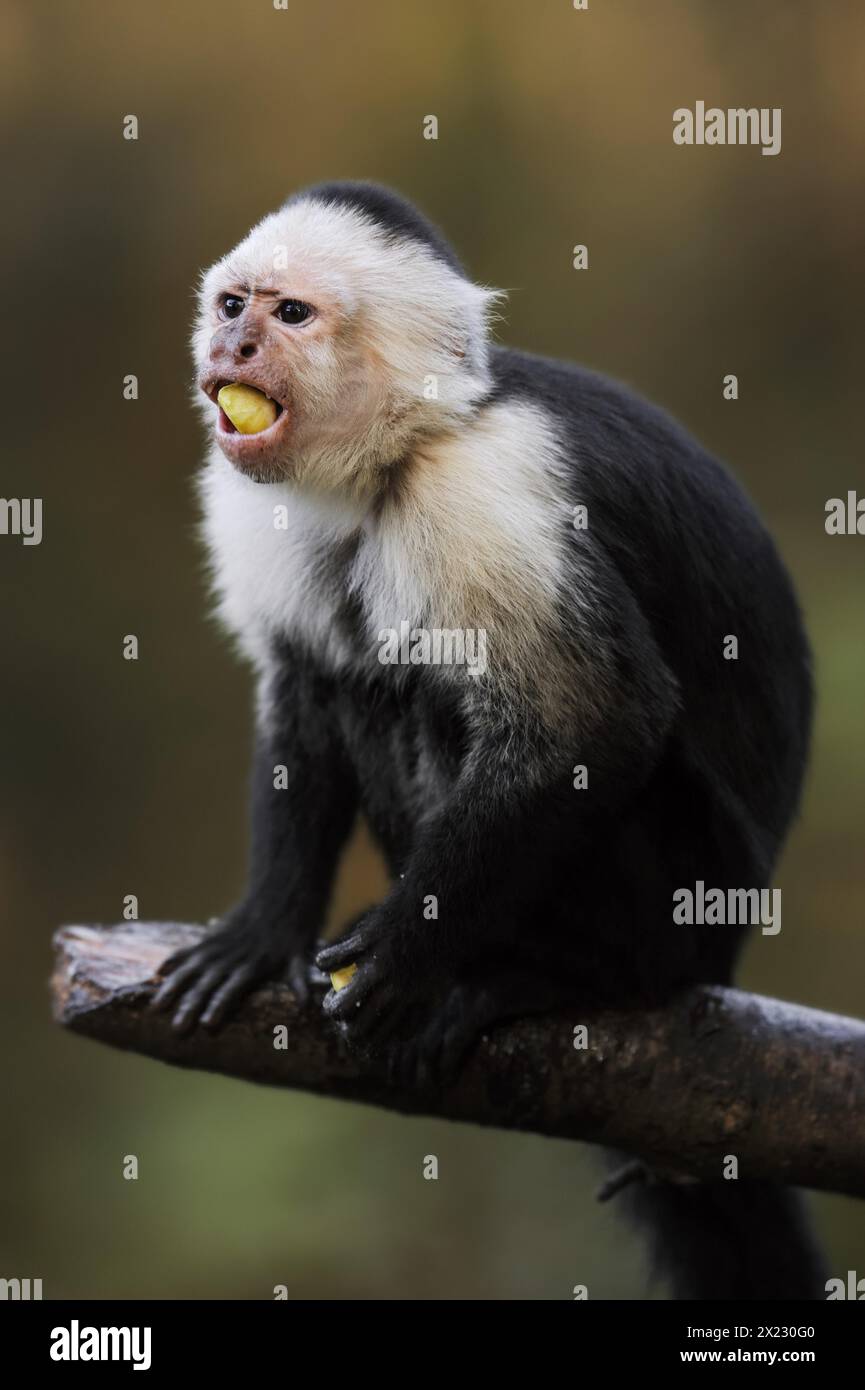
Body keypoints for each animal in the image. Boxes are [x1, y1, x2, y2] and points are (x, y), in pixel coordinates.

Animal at [152, 180, 824, 1299]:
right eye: (234, 303)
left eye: (290, 315)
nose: (232, 344)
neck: (397, 455)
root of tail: (724, 951)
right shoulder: (257, 499)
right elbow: (300, 690)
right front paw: (263, 927)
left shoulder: (487, 489)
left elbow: (597, 718)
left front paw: (410, 949)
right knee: (363, 681)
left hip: (694, 898)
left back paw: (558, 977)